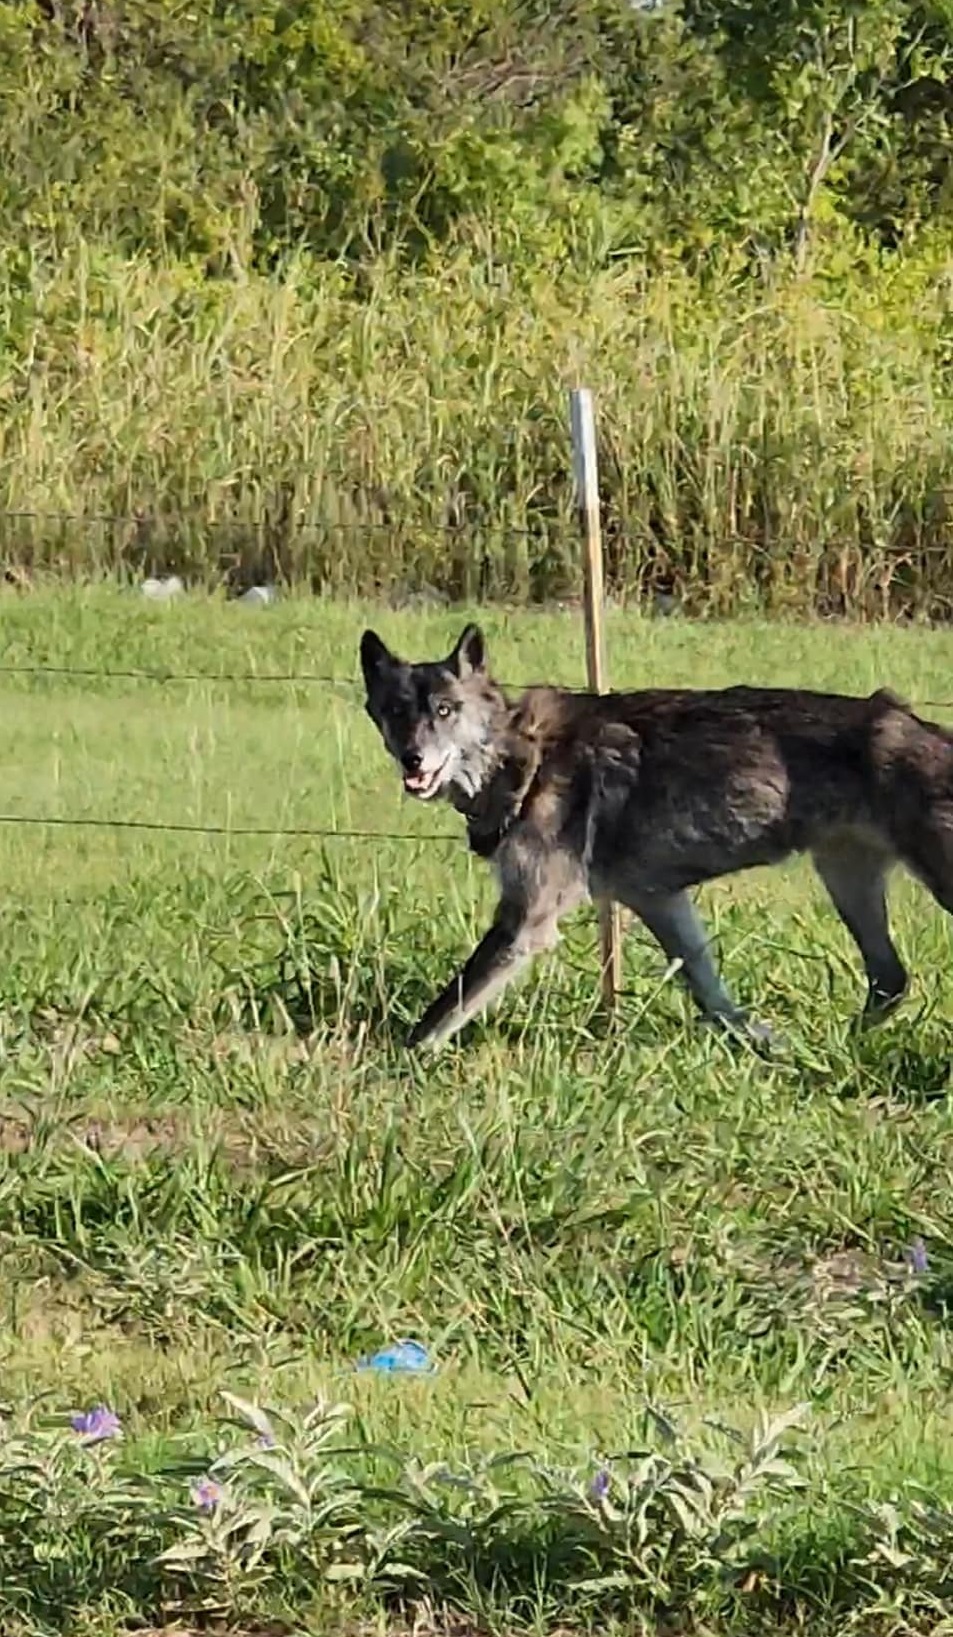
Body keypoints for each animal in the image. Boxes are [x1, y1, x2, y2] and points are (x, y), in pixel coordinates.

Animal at [360, 622, 953, 1051]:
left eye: (445, 710)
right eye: (395, 712)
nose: (413, 760)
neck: (522, 757)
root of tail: (918, 726)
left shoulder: (524, 923)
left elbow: (441, 1014)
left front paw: (394, 1068)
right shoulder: (660, 902)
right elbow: (713, 996)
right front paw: (767, 1045)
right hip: (846, 881)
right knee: (890, 978)